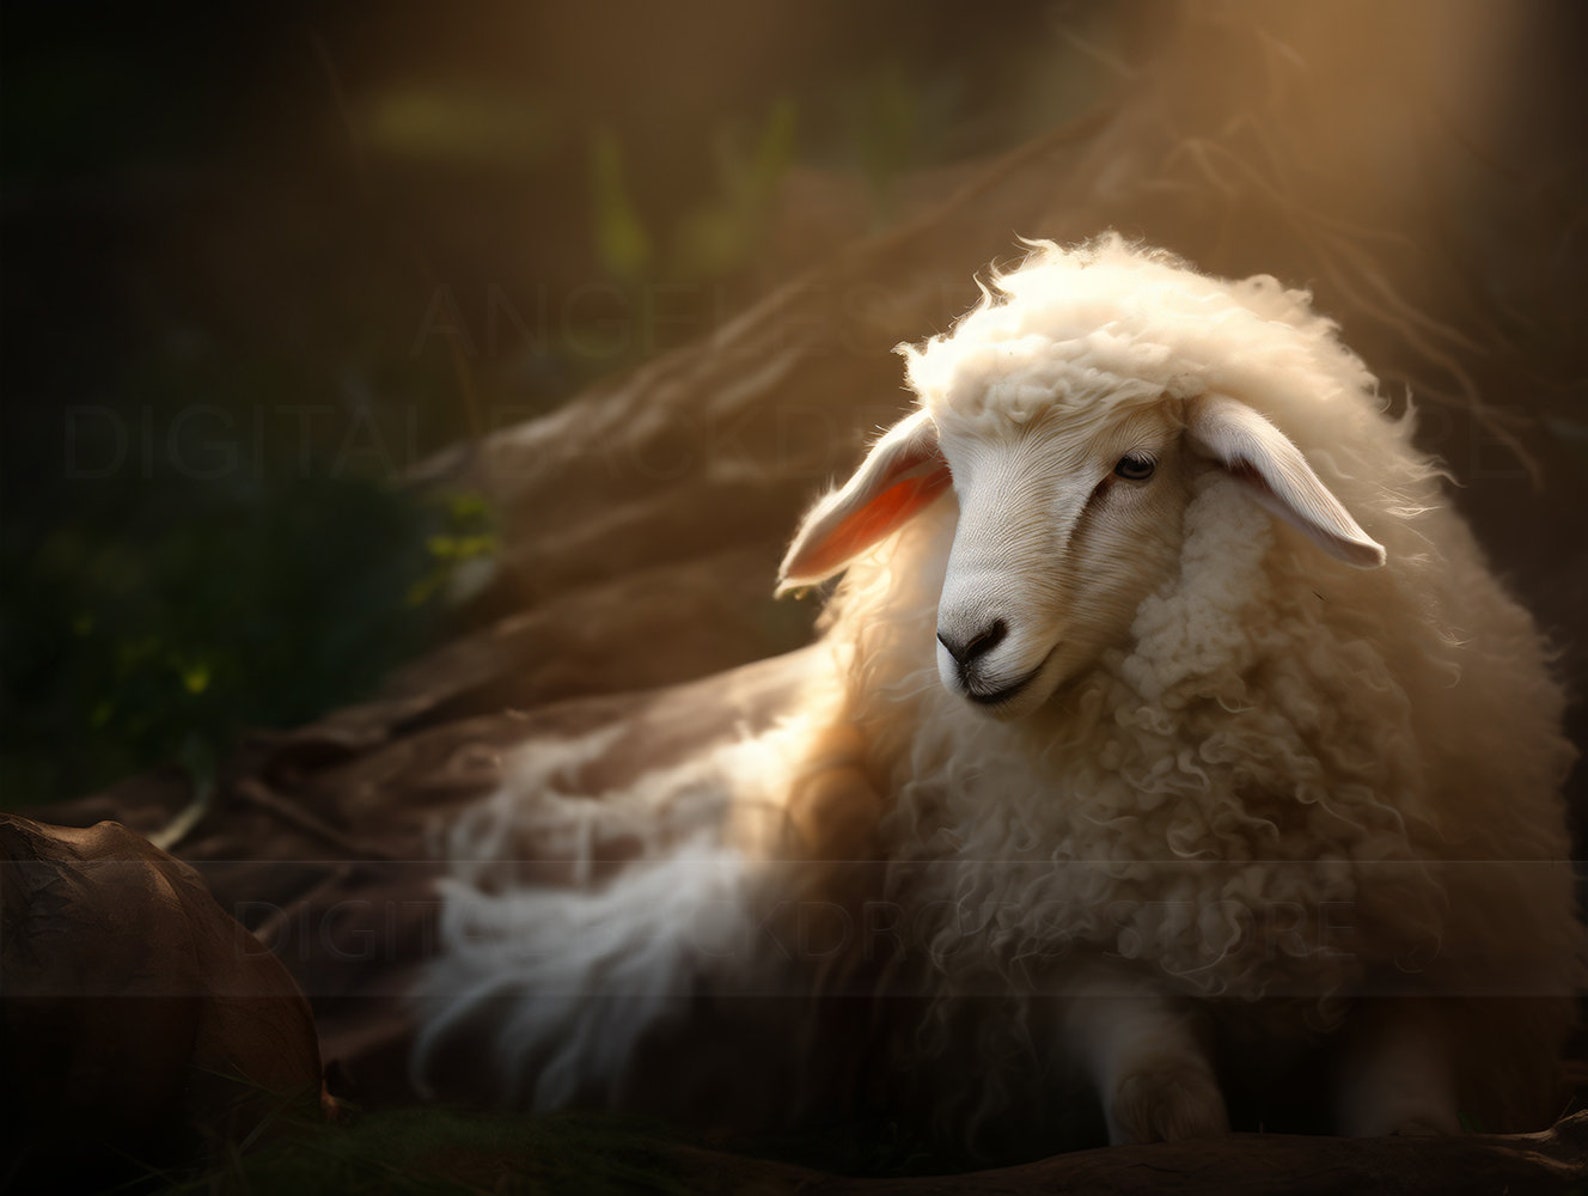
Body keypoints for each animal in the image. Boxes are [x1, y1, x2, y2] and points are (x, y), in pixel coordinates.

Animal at [414, 235, 1580, 1150]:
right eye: (955, 476)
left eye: (1135, 466)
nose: (966, 640)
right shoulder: (1047, 953)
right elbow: (1165, 1109)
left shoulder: (1430, 952)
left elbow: (1412, 1129)